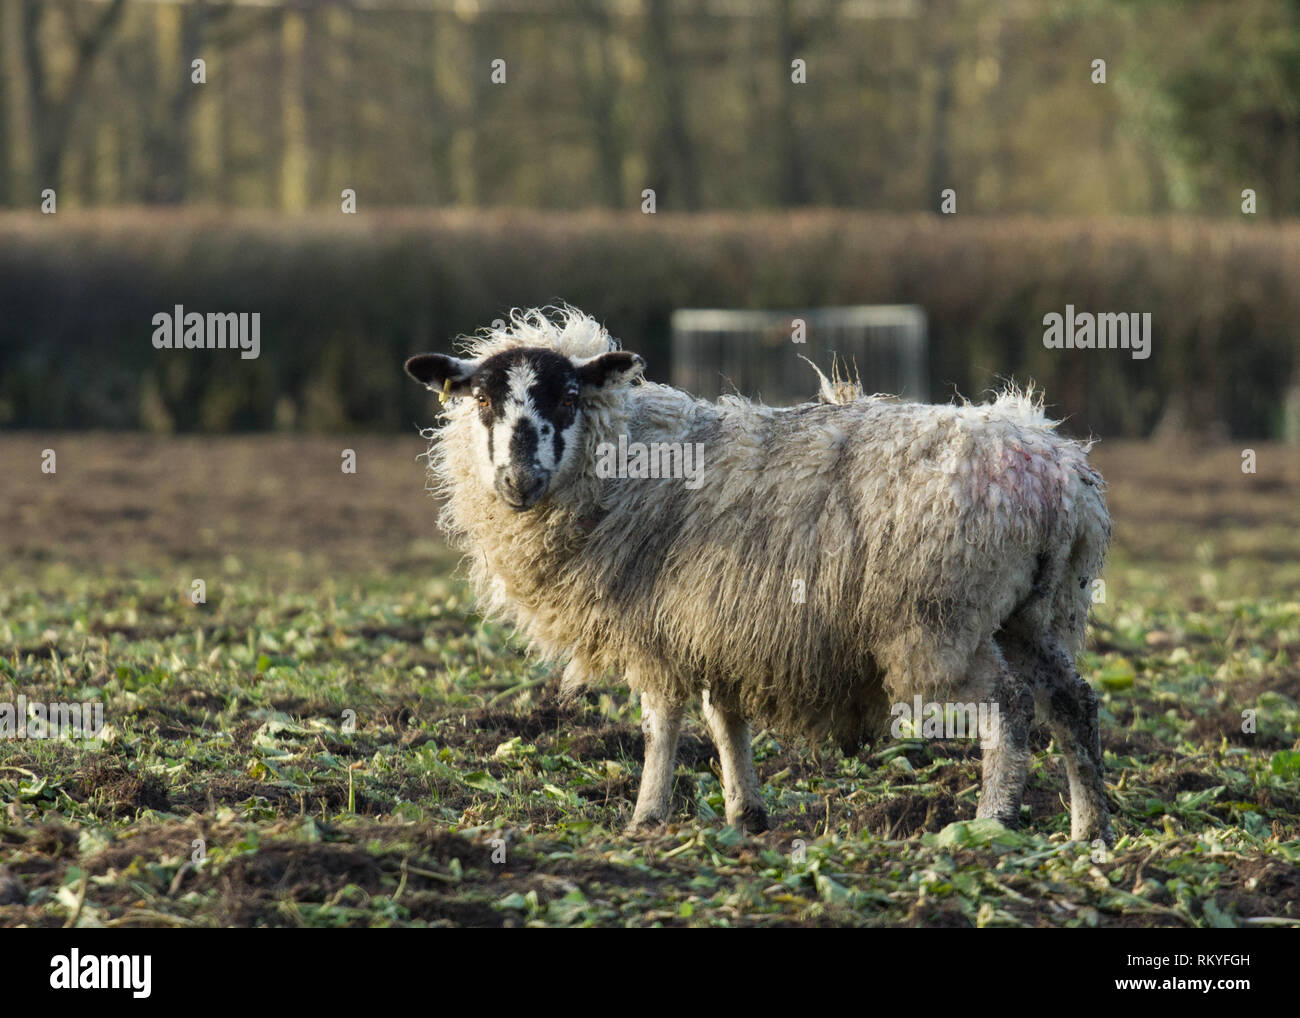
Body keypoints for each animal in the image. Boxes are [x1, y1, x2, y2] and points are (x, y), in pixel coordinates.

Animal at [405, 306, 1114, 844]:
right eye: (481, 399)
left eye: (570, 396)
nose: (518, 480)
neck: (627, 458)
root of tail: (1055, 475)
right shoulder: (717, 623)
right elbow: (725, 719)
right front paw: (745, 814)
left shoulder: (655, 625)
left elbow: (662, 722)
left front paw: (647, 818)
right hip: (1033, 614)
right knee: (1073, 704)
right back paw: (1090, 837)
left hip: (938, 622)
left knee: (1008, 707)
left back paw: (989, 828)